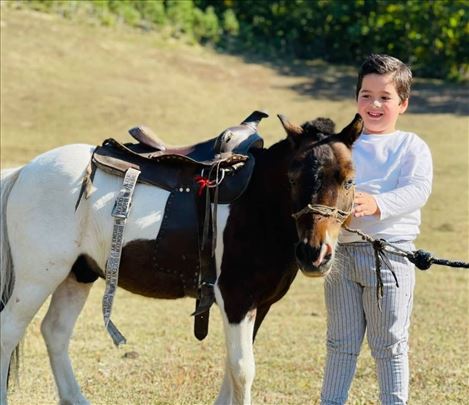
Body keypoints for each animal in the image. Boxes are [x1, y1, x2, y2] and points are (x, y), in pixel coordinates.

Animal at [0, 111, 362, 404]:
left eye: (349, 180)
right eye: (293, 178)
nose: (314, 254)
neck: (258, 204)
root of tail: (24, 171)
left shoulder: (258, 305)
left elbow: (233, 367)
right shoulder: (237, 300)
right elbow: (243, 369)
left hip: (77, 274)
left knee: (55, 331)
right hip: (38, 279)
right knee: (9, 332)